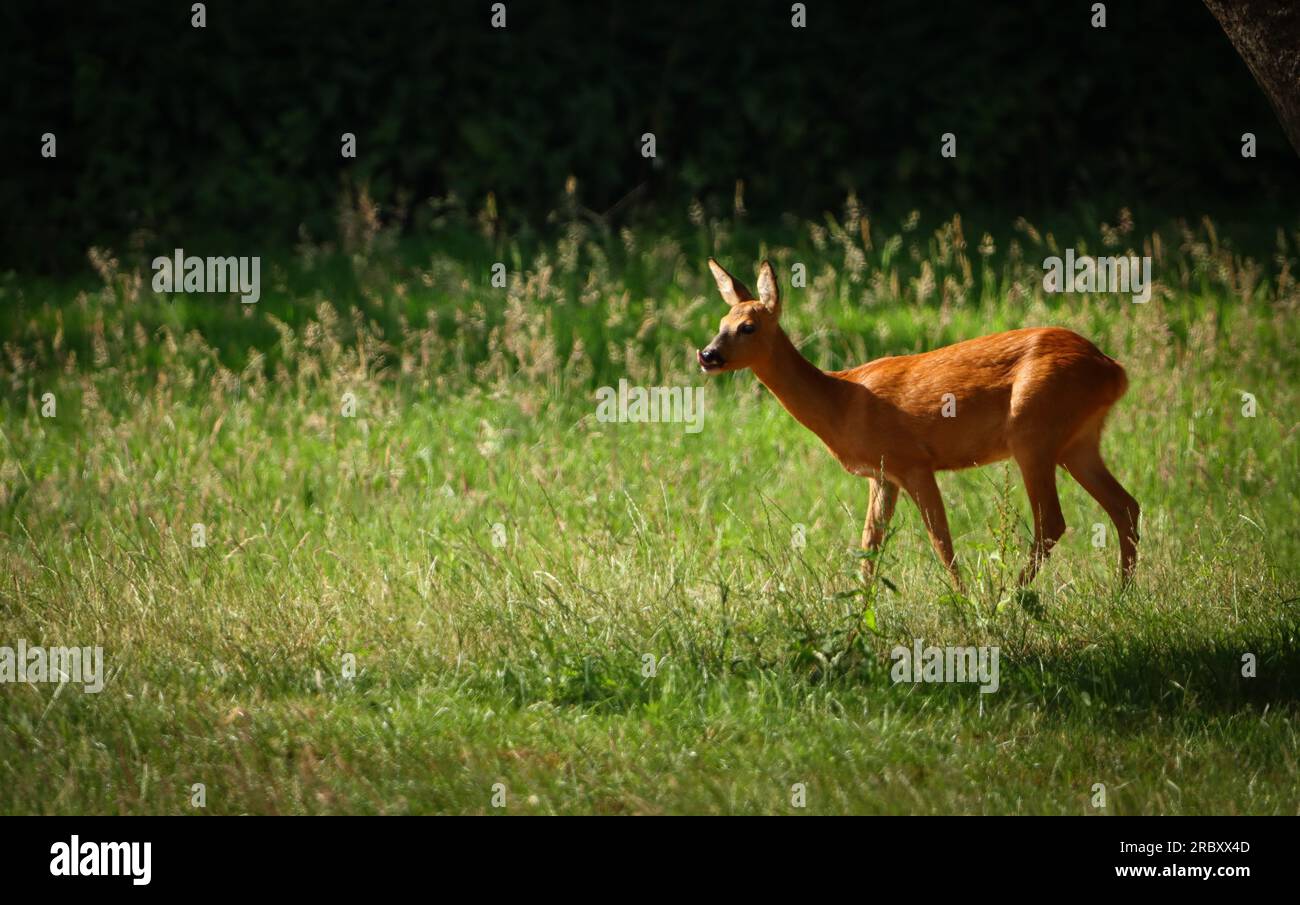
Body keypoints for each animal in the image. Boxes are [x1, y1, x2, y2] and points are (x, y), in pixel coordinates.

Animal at [697, 258, 1140, 588]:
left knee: (1052, 520)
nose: (707, 355)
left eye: (748, 326)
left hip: (1033, 430)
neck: (842, 402)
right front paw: (857, 613)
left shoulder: (913, 461)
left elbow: (940, 540)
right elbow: (870, 546)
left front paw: (965, 602)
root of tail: (1114, 370)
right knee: (1126, 506)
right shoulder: (883, 475)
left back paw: (1011, 597)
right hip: (1078, 441)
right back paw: (1122, 593)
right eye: (720, 322)